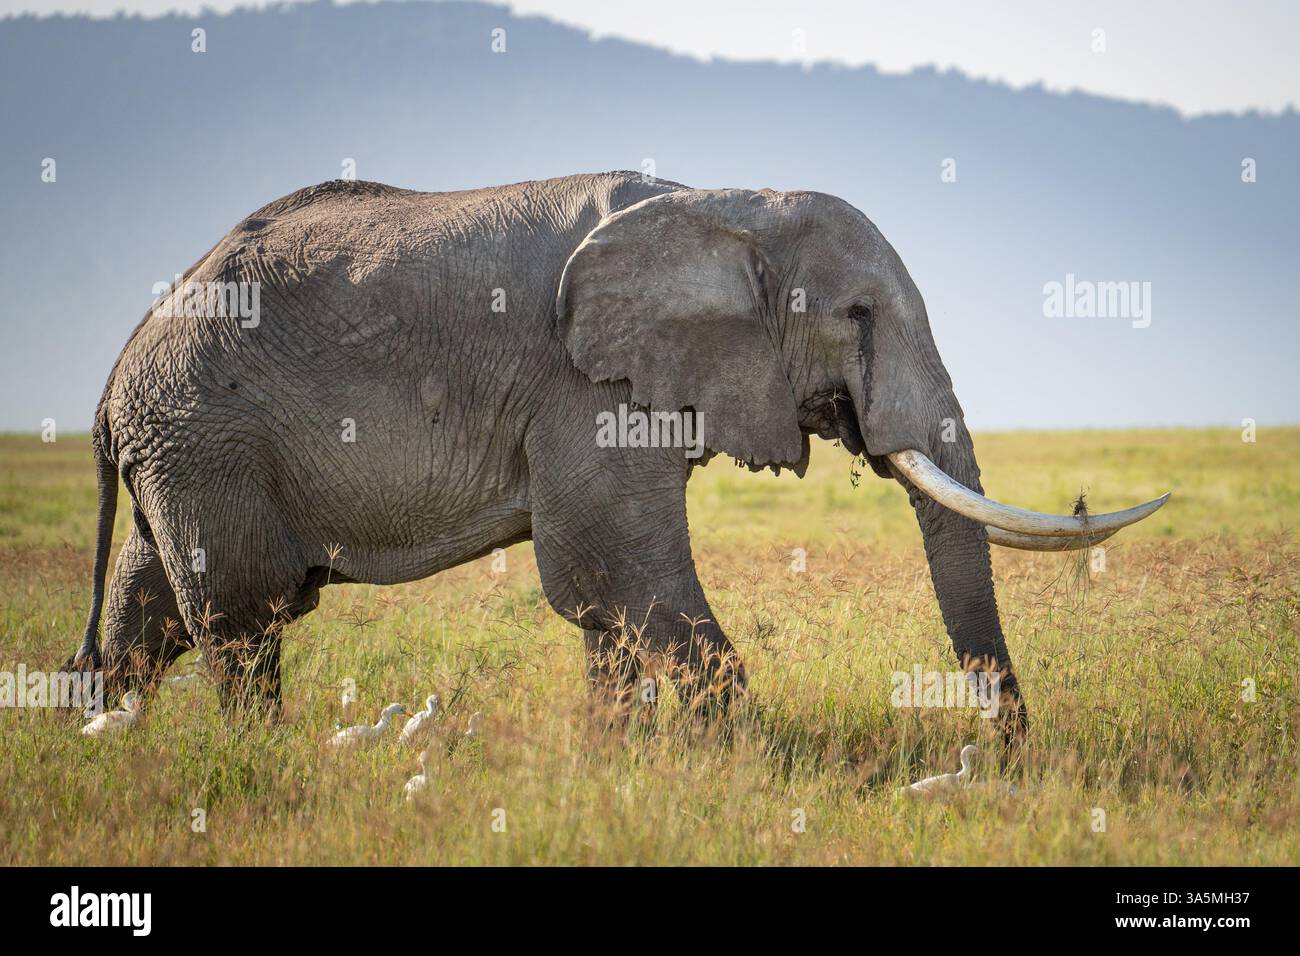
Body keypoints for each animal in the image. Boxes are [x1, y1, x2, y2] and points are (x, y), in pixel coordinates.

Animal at [67, 171, 1168, 727]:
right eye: (855, 315)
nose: (1010, 762)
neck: (723, 201)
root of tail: (114, 379)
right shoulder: (578, 388)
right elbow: (613, 573)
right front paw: (748, 776)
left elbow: (610, 610)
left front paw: (621, 769)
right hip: (206, 437)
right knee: (241, 621)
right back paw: (256, 765)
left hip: (184, 452)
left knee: (145, 617)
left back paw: (105, 747)